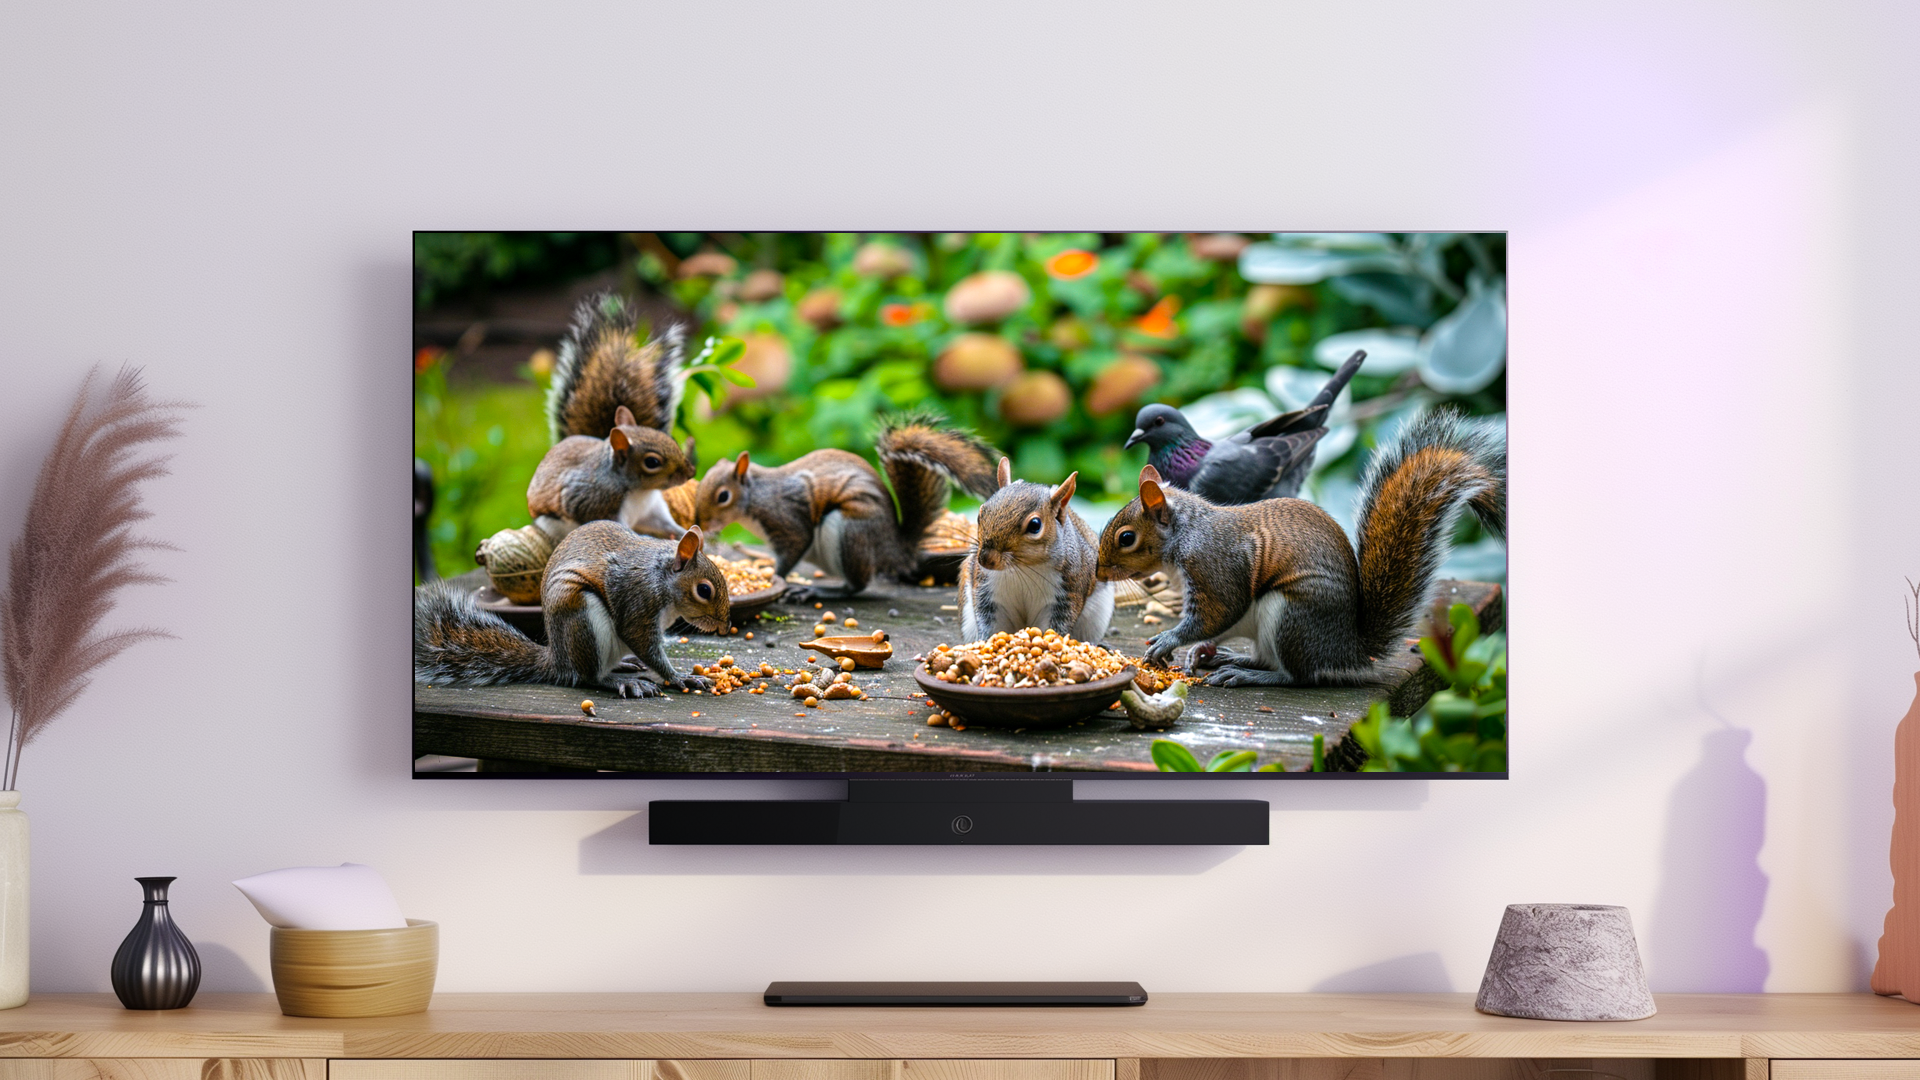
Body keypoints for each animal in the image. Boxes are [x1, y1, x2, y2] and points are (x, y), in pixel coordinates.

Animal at [415, 520, 729, 698]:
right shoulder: (638, 602)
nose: (725, 628)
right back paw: (620, 682)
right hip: (583, 618)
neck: (661, 576)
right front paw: (679, 677)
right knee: (589, 677)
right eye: (704, 590)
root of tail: (558, 660)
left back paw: (624, 664)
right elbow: (644, 644)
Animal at [527, 293, 697, 542]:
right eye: (652, 462)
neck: (639, 492)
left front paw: (688, 533)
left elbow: (667, 525)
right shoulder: (594, 503)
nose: (691, 472)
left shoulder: (653, 510)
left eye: (670, 439)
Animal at [691, 412, 999, 599]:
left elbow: (793, 547)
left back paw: (820, 592)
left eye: (723, 496)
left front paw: (775, 575)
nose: (702, 524)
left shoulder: (785, 516)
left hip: (847, 533)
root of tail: (894, 548)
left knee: (856, 586)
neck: (755, 496)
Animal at [959, 458, 1114, 643]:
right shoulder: (988, 592)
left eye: (1035, 525)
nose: (986, 559)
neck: (1024, 568)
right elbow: (991, 623)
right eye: (980, 514)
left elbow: (1055, 626)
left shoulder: (1066, 595)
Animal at [1095, 408, 1505, 687]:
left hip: (1290, 617)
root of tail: (1348, 649)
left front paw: (1170, 640)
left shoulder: (1213, 565)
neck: (1184, 534)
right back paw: (1229, 659)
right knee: (1266, 659)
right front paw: (1199, 650)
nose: (1098, 571)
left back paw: (1252, 676)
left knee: (1297, 675)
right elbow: (1217, 624)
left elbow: (1217, 612)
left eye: (1126, 538)